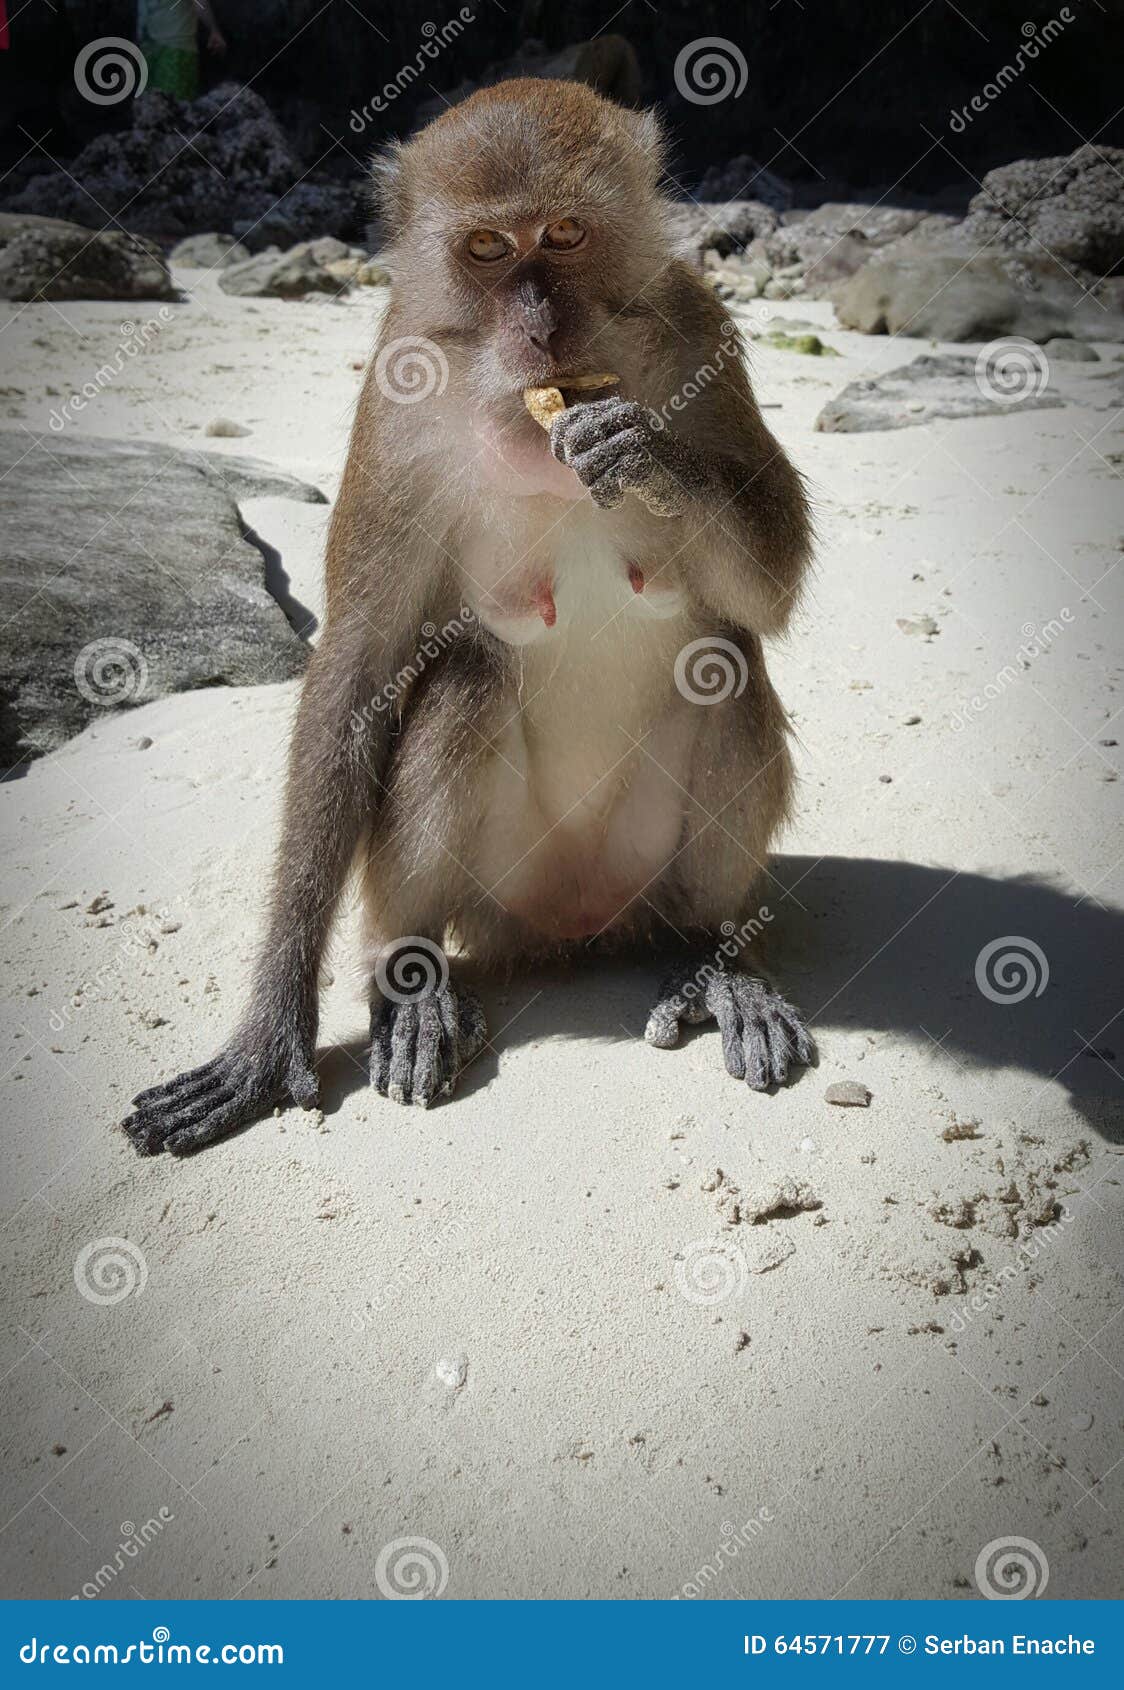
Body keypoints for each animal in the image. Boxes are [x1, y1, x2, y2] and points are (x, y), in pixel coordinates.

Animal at [123, 77, 814, 1156]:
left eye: (565, 233)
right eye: (489, 248)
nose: (538, 327)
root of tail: (575, 925)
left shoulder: (700, 327)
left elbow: (769, 587)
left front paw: (648, 455)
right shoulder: (398, 395)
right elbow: (359, 671)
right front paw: (271, 1030)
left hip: (640, 876)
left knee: (724, 663)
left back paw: (711, 959)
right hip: (495, 895)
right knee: (462, 683)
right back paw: (412, 981)